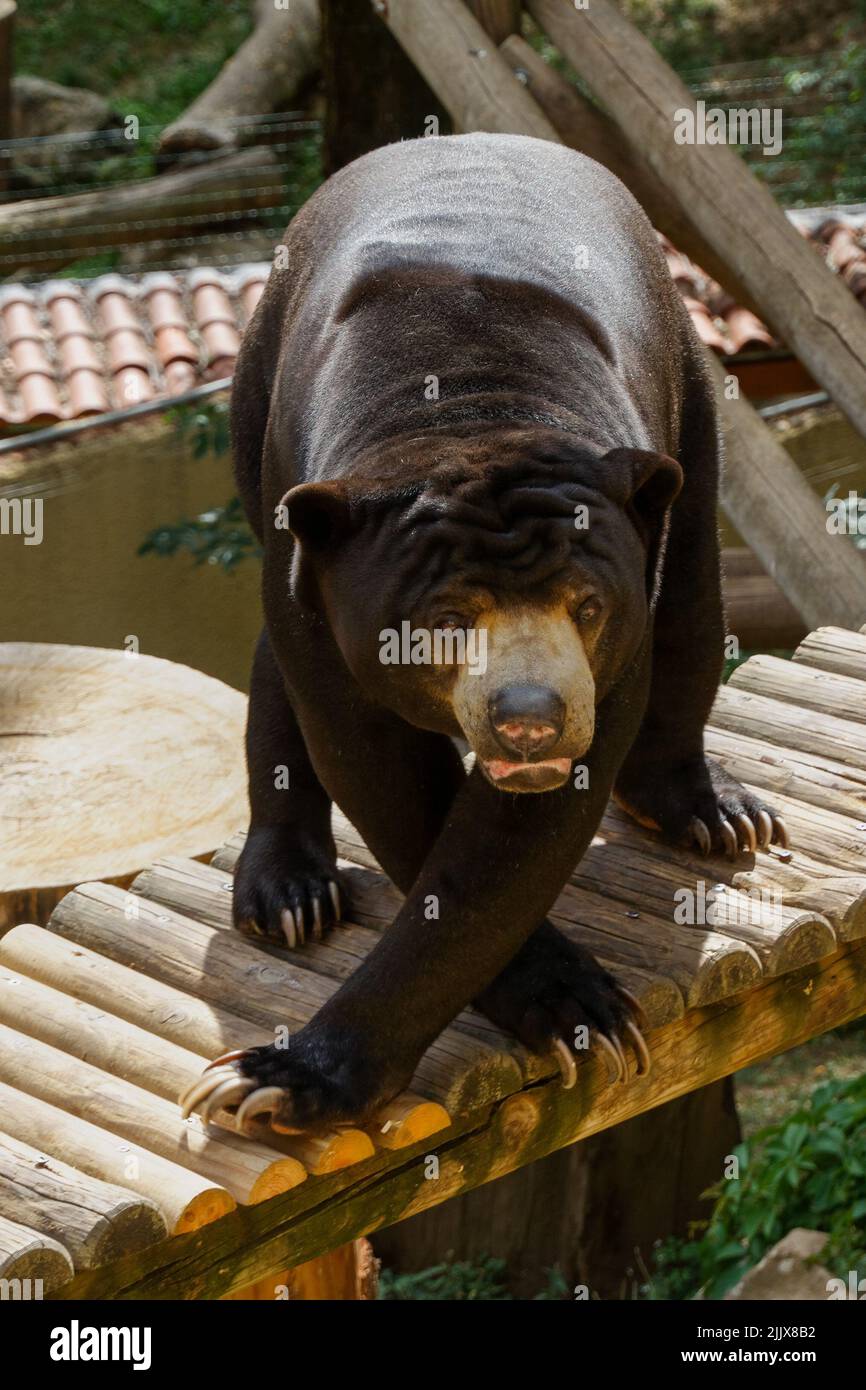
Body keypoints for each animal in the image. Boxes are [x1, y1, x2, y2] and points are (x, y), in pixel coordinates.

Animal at [181, 134, 786, 1134]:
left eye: (587, 605)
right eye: (446, 622)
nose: (530, 720)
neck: (464, 402)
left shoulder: (607, 650)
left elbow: (504, 851)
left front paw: (279, 1078)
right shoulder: (328, 594)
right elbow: (380, 770)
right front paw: (272, 1079)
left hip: (691, 405)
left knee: (694, 601)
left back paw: (715, 812)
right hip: (258, 404)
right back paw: (288, 894)